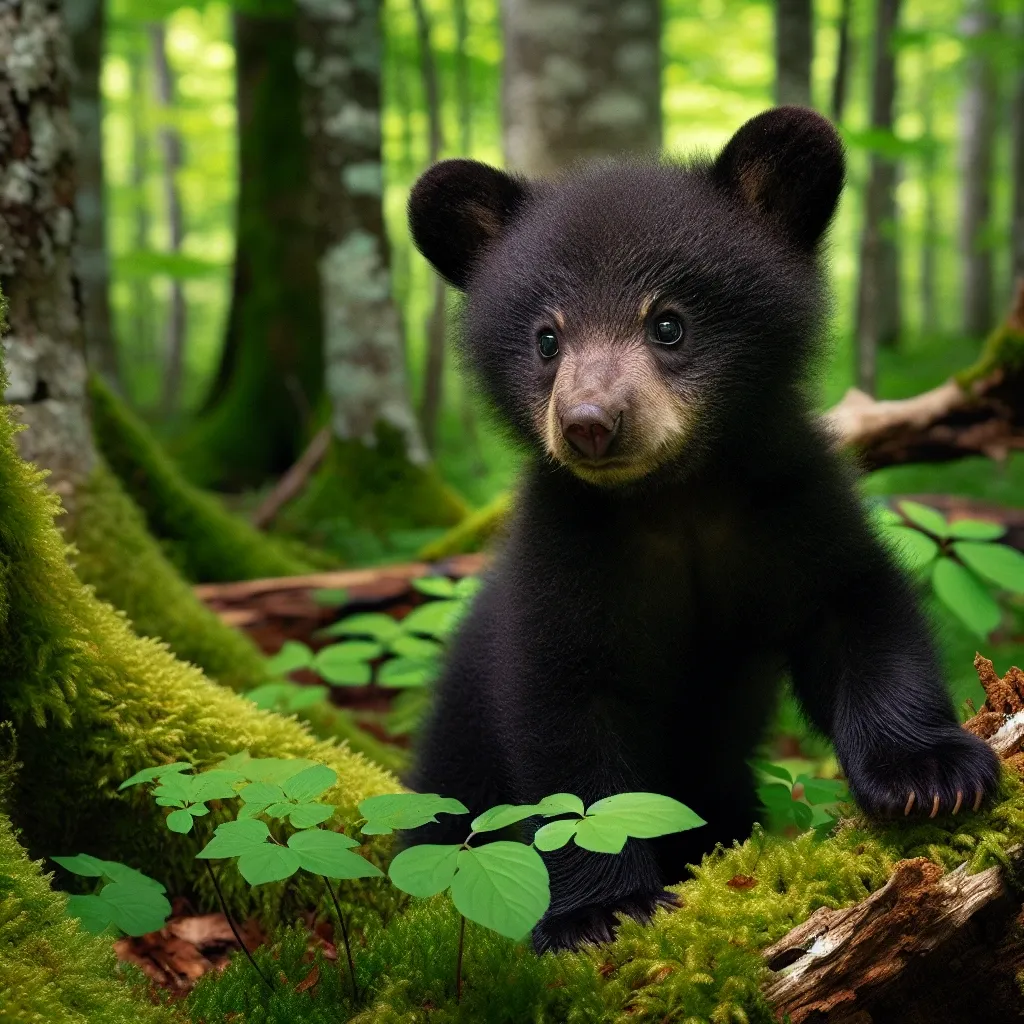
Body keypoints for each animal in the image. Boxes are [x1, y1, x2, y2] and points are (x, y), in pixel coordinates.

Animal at [403, 107, 1001, 954]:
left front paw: (932, 776)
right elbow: (566, 726)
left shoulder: (790, 505)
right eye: (547, 339)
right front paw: (599, 912)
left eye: (669, 324)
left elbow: (859, 609)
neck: (673, 499)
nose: (589, 424)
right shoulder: (568, 553)